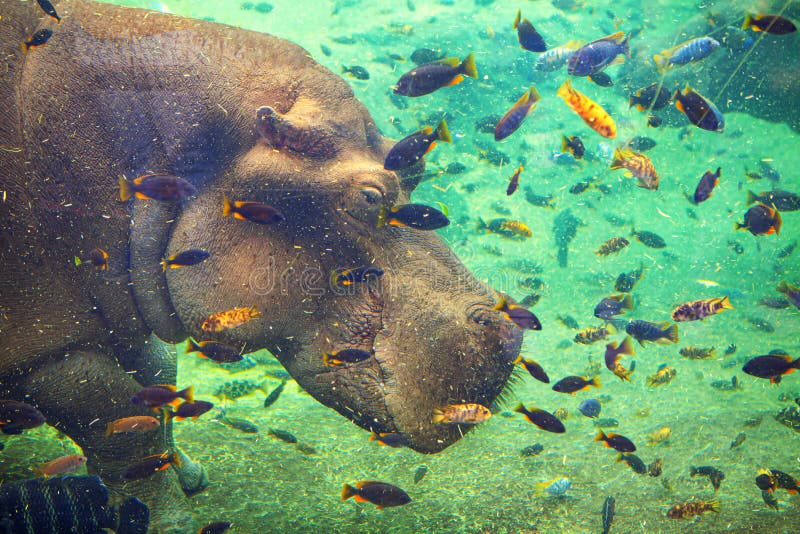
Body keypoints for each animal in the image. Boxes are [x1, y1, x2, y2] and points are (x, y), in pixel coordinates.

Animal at [0, 0, 524, 530]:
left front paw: (191, 474)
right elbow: (122, 426)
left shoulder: (117, 309)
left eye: (415, 166)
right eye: (369, 198)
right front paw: (169, 519)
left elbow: (157, 379)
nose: (510, 330)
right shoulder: (46, 344)